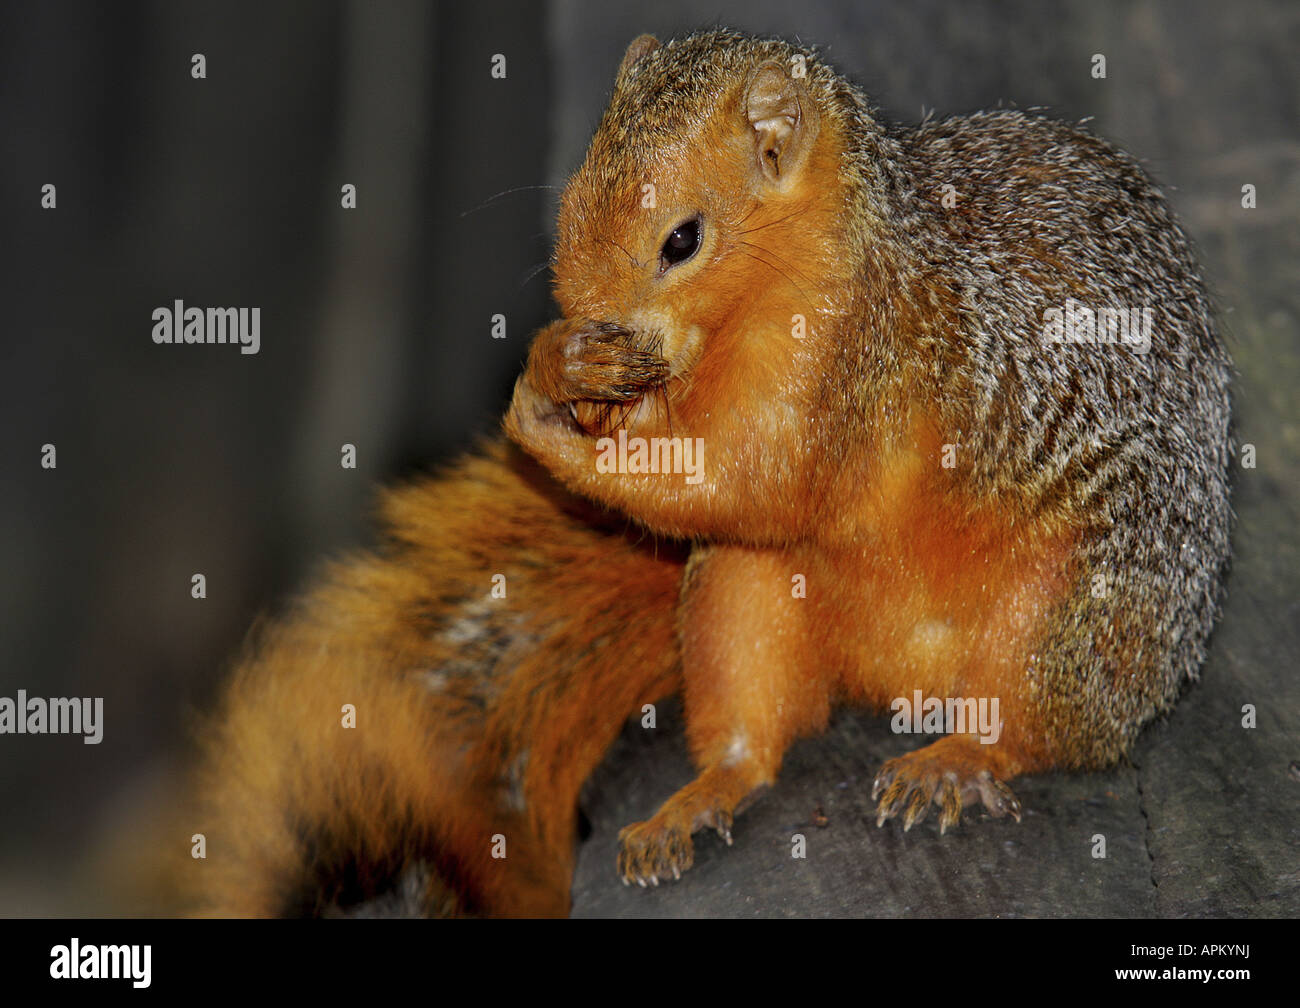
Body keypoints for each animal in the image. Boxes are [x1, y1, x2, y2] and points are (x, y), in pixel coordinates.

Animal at [184, 28, 1232, 914]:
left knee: (1043, 727)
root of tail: (905, 679)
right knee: (755, 722)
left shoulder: (859, 366)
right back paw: (701, 797)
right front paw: (564, 366)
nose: (595, 323)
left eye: (682, 240)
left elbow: (756, 480)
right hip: (743, 590)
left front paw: (546, 418)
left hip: (1069, 615)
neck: (799, 266)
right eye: (570, 201)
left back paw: (959, 762)